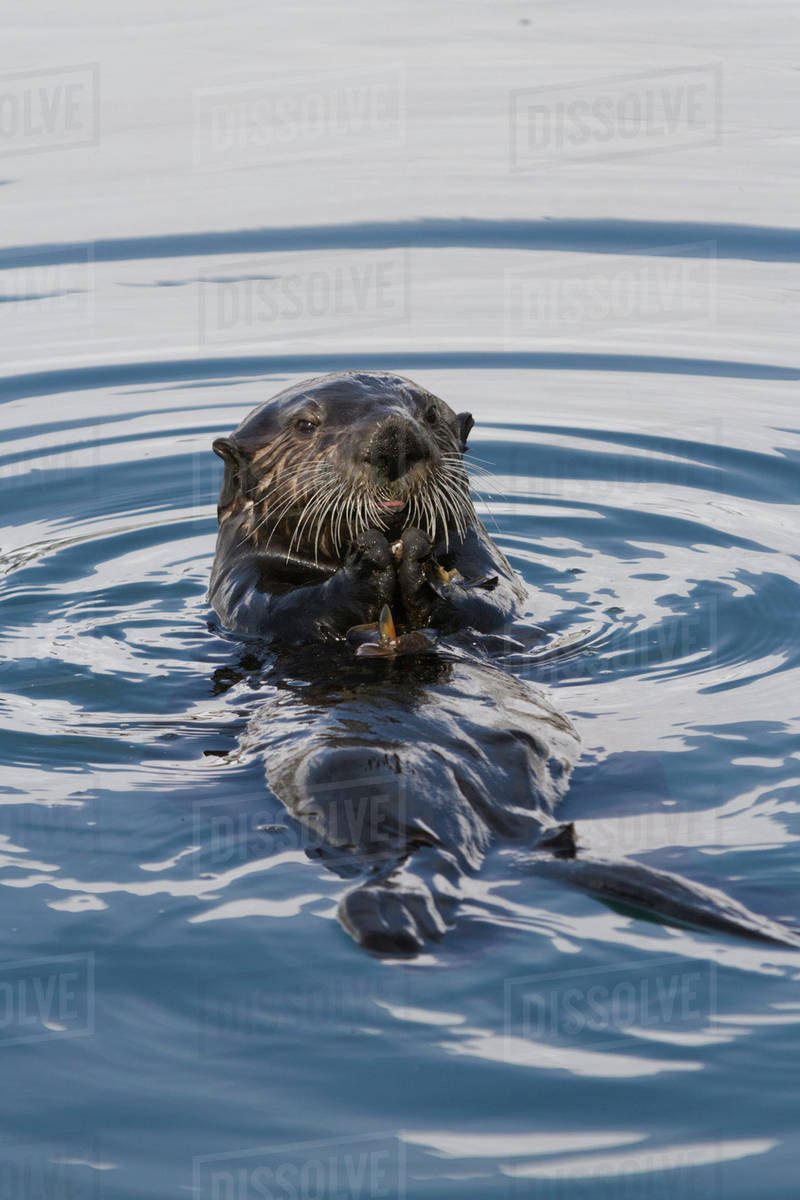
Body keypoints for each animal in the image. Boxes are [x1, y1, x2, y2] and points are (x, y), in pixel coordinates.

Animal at [209, 371, 799, 955]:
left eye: (428, 413)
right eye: (306, 424)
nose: (393, 439)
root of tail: (514, 826)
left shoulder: (485, 556)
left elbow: (494, 601)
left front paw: (425, 569)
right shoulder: (240, 585)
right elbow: (285, 612)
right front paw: (367, 565)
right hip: (342, 768)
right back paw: (395, 908)